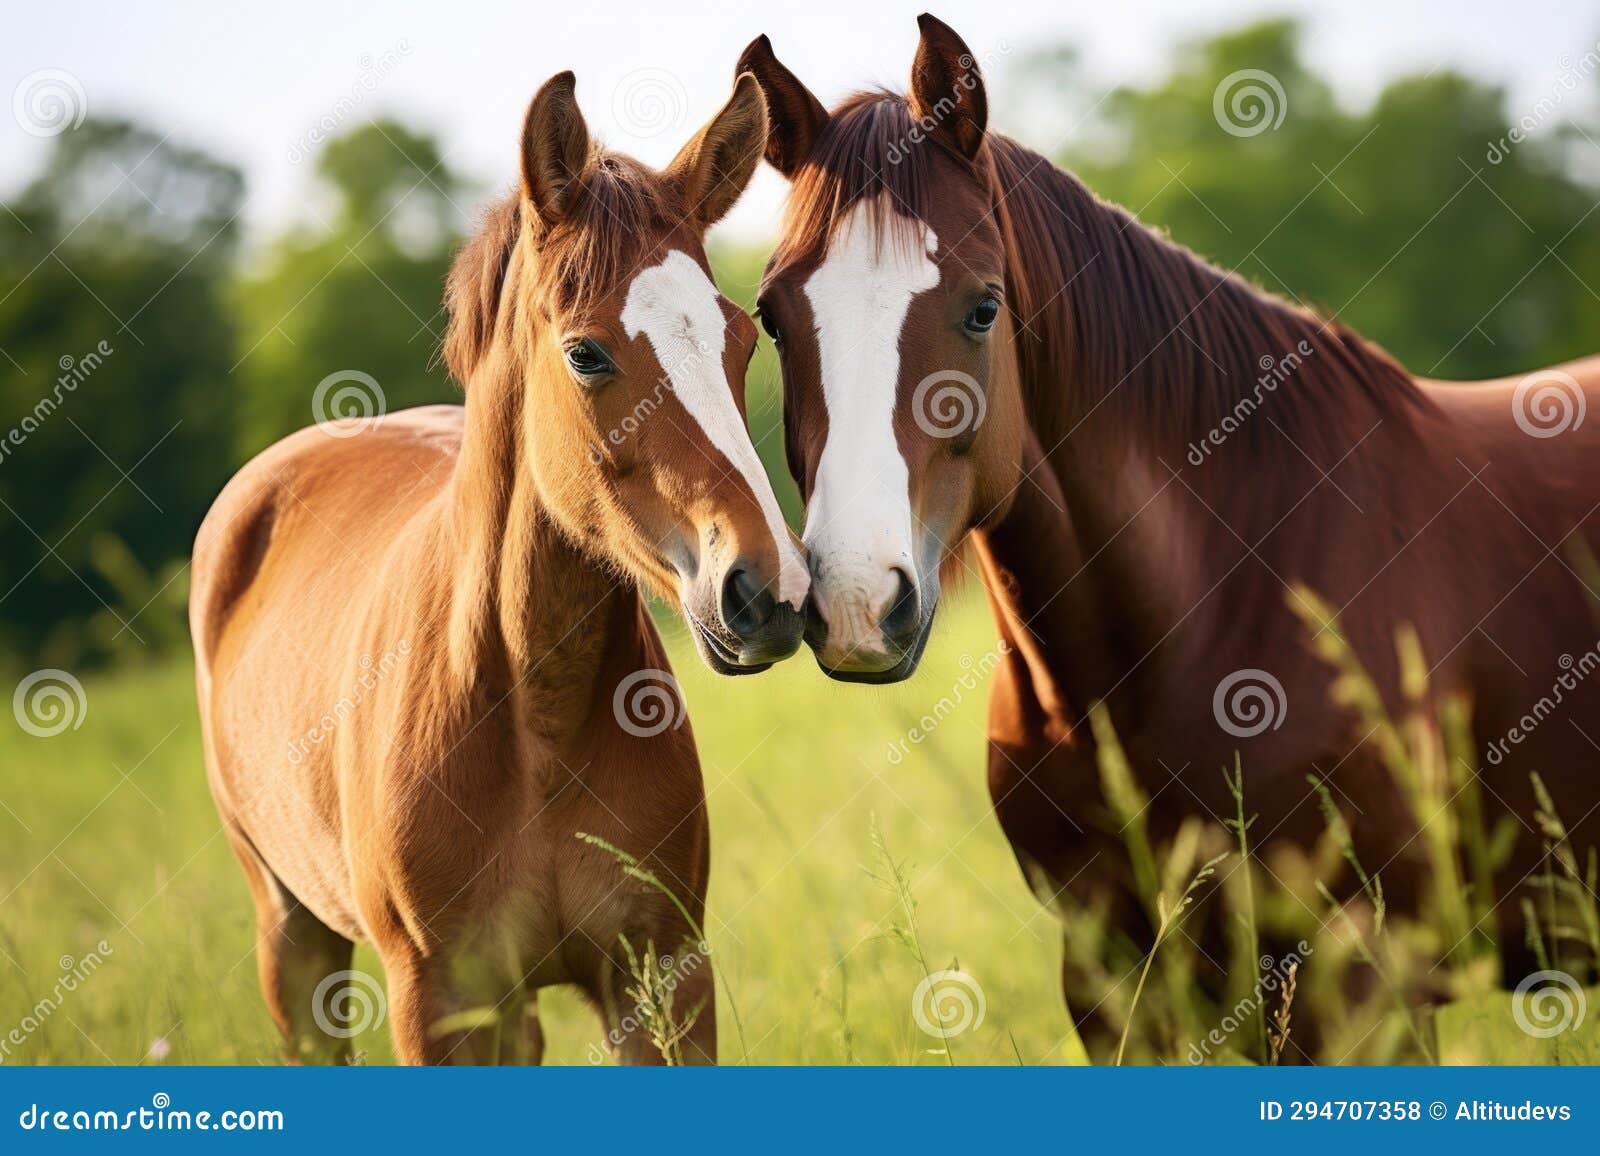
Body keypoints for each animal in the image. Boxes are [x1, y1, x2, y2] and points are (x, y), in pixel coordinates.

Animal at [189, 71, 807, 1065]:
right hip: (295, 940)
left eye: (742, 340)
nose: (768, 591)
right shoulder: (436, 1002)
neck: (531, 719)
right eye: (585, 353)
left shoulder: (664, 976)